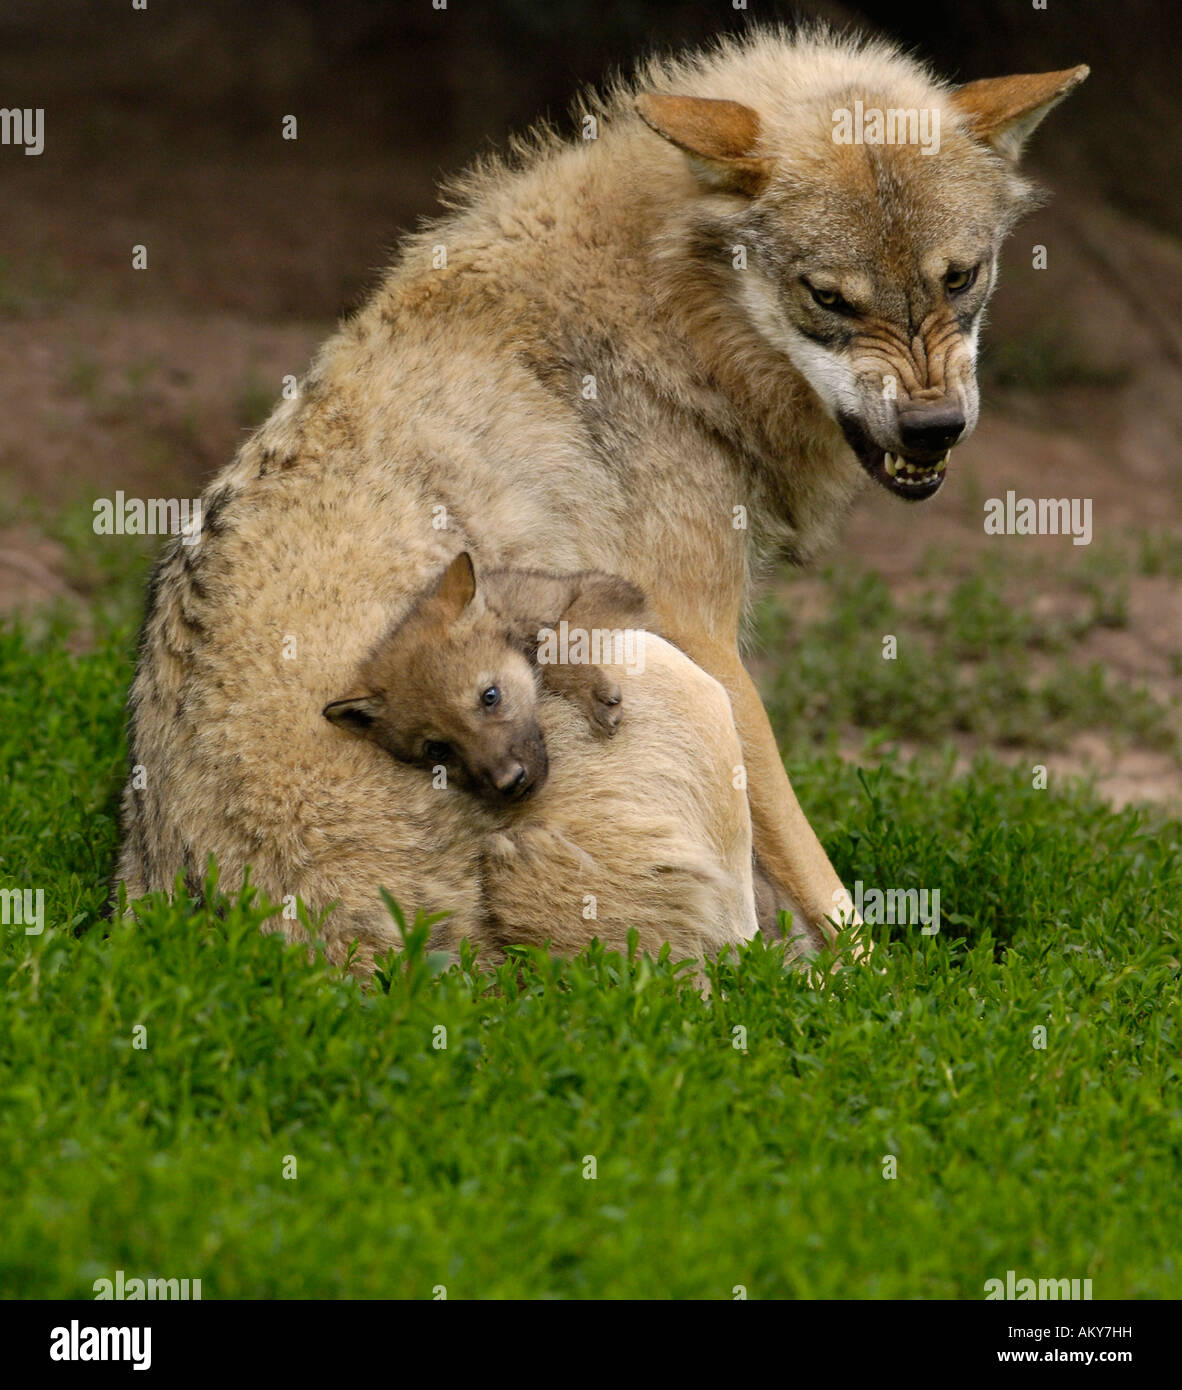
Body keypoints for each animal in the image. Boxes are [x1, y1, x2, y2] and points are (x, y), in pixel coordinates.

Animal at [322, 550, 655, 800]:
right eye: (436, 749)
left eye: (490, 696)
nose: (511, 783)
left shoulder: (605, 588)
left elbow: (552, 648)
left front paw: (595, 695)